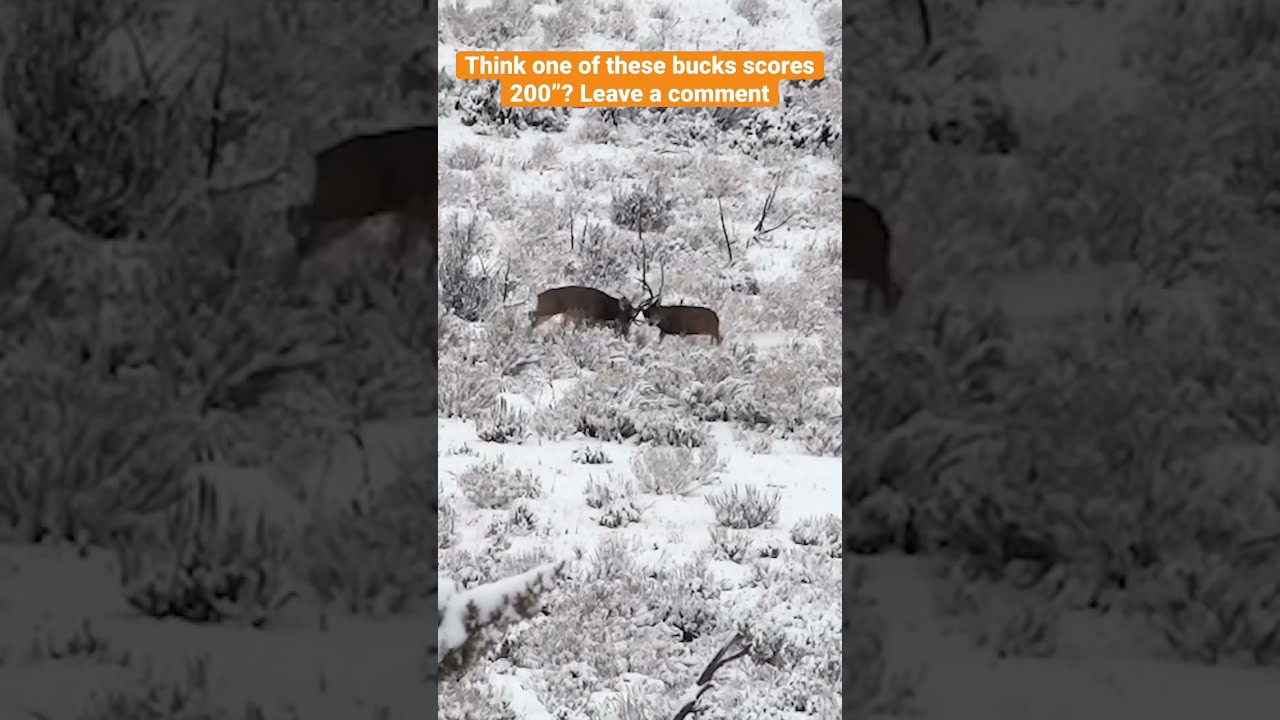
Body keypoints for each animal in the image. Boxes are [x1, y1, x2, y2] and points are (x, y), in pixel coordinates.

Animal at [283, 125, 436, 275]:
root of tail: (319, 160)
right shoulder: (419, 207)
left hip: (350, 205)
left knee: (307, 222)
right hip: (351, 201)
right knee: (308, 219)